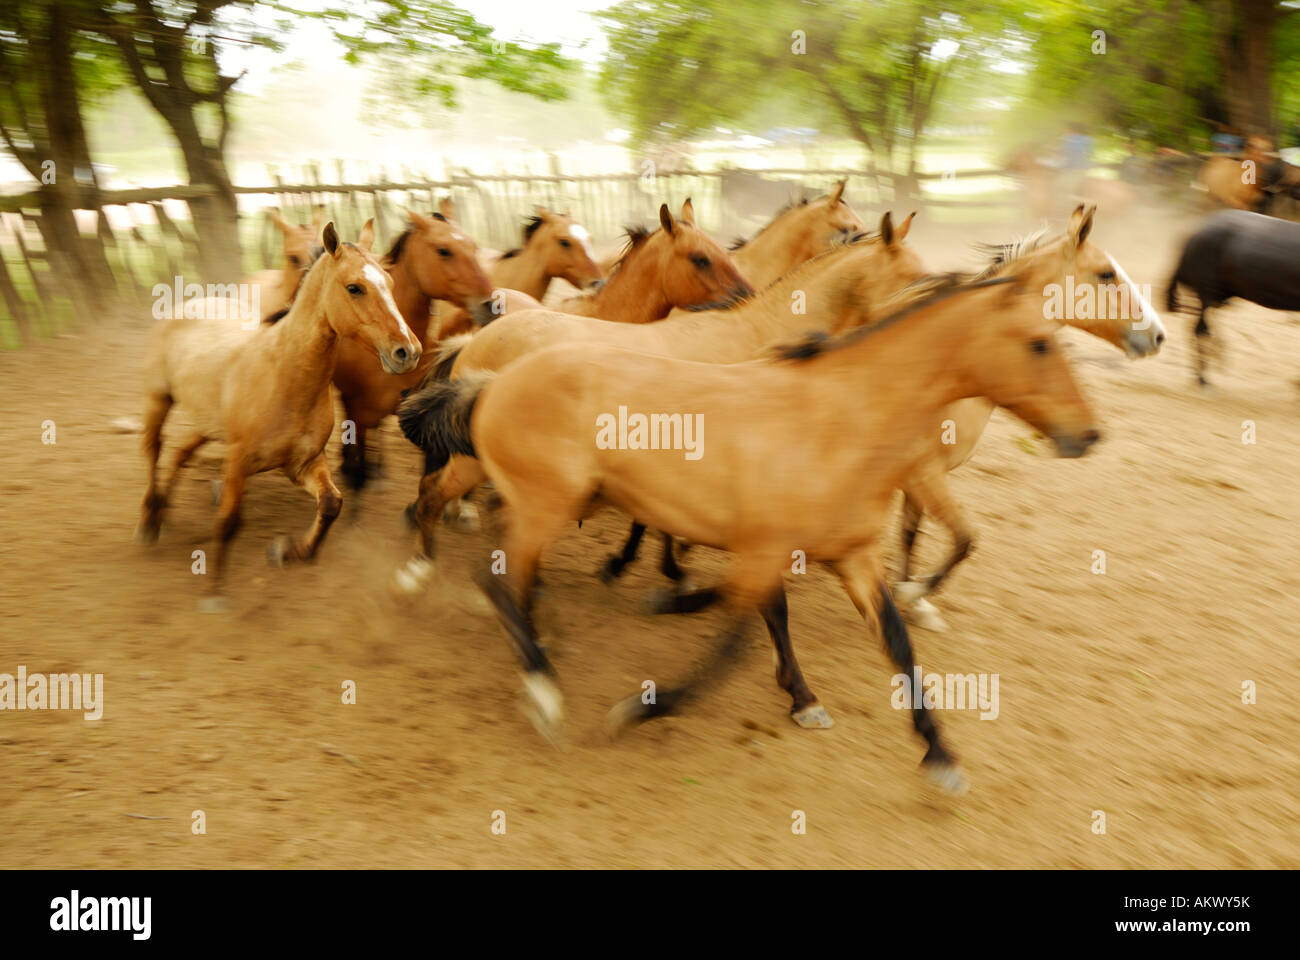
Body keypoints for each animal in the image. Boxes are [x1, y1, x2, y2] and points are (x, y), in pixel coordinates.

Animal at [137, 221, 420, 610]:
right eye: (354, 288)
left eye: (390, 284)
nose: (408, 351)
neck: (284, 378)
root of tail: (191, 302)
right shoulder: (238, 461)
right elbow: (228, 521)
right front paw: (213, 594)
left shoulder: (303, 463)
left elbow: (332, 503)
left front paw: (290, 551)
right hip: (158, 399)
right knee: (154, 448)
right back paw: (150, 520)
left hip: (207, 423)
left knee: (179, 452)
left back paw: (163, 509)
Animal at [391, 212, 926, 597]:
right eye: (700, 258)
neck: (755, 336)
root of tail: (476, 339)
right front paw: (650, 566)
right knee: (443, 487)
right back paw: (425, 560)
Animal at [401, 274, 1101, 794]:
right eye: (1040, 343)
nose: (1088, 435)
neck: (842, 419)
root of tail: (494, 379)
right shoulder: (764, 553)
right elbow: (734, 644)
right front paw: (640, 708)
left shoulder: (851, 556)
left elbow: (897, 646)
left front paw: (940, 756)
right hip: (546, 503)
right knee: (489, 571)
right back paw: (537, 684)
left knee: (497, 563)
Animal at [1166, 208, 1300, 387]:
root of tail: (1191, 237)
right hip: (1208, 290)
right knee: (1201, 330)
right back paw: (1203, 379)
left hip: (1218, 294)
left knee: (1205, 327)